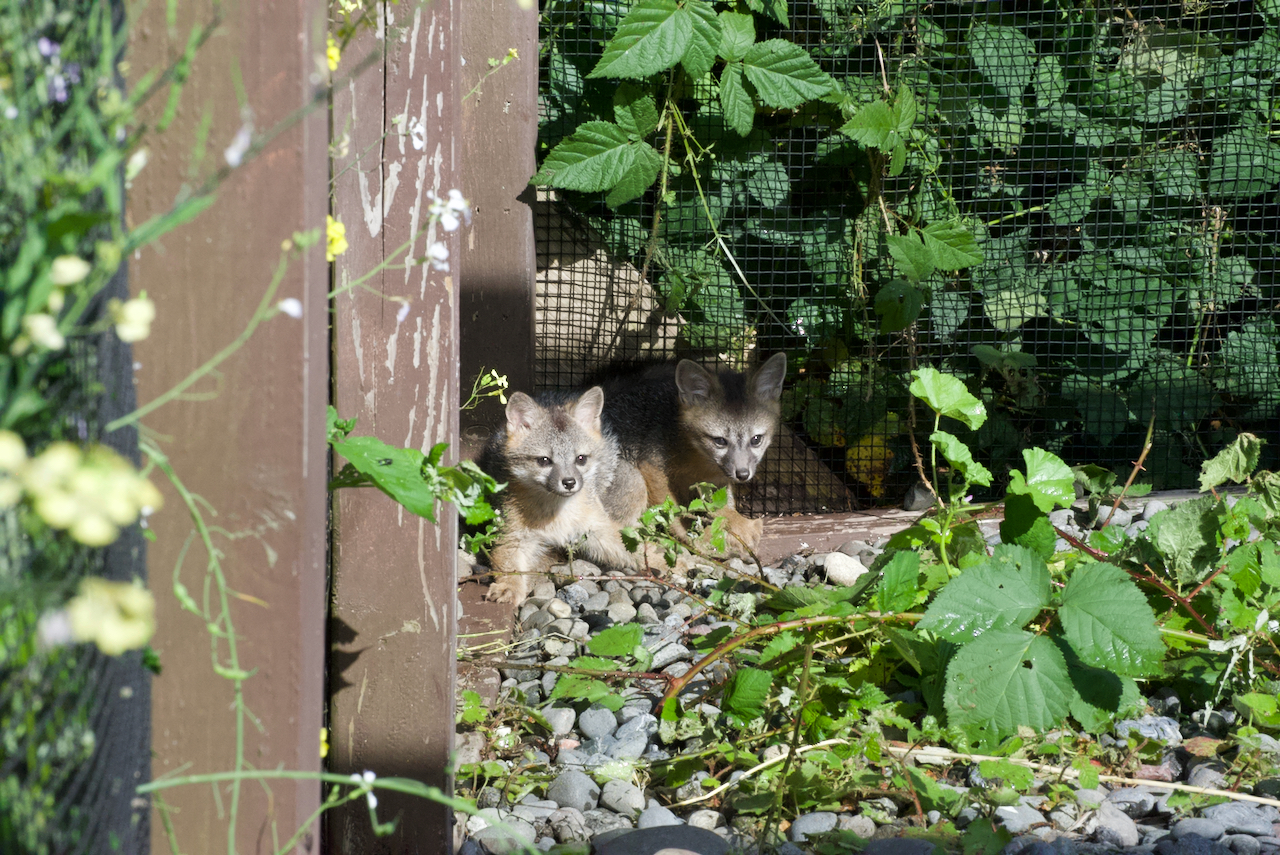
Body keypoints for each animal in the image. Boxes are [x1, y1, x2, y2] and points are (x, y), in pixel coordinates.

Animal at [480, 386, 650, 604]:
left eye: (581, 459)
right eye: (544, 460)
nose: (569, 482)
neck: (557, 514)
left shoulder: (598, 530)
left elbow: (636, 547)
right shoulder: (513, 535)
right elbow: (510, 566)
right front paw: (508, 587)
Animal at [598, 352, 787, 556]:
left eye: (756, 439)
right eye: (720, 441)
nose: (743, 474)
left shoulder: (715, 482)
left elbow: (722, 507)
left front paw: (735, 525)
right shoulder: (651, 466)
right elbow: (673, 510)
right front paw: (690, 536)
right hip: (634, 482)